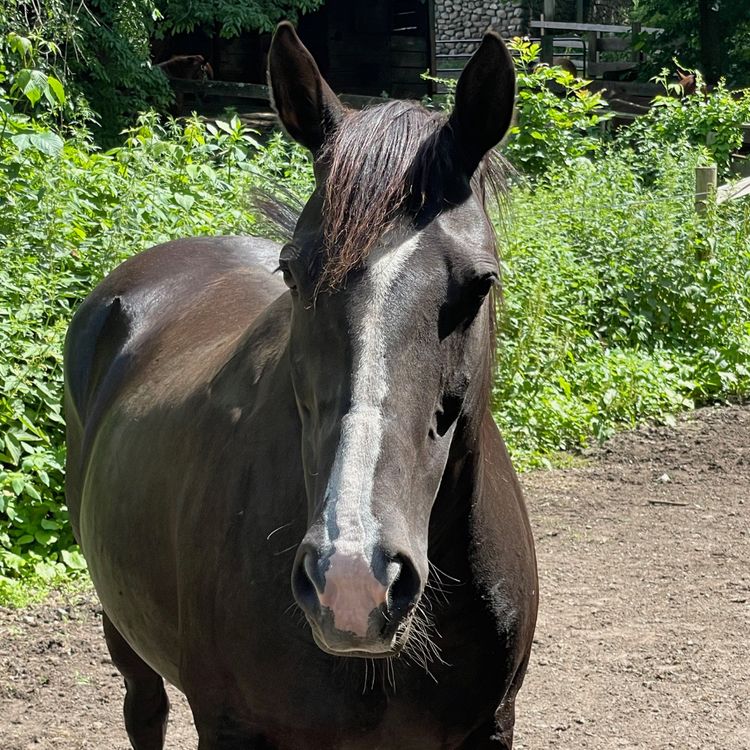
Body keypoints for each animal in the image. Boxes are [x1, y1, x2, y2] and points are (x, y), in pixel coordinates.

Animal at [64, 22, 538, 750]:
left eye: (480, 283)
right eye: (292, 272)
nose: (354, 579)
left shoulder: (493, 725)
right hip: (123, 631)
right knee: (144, 708)